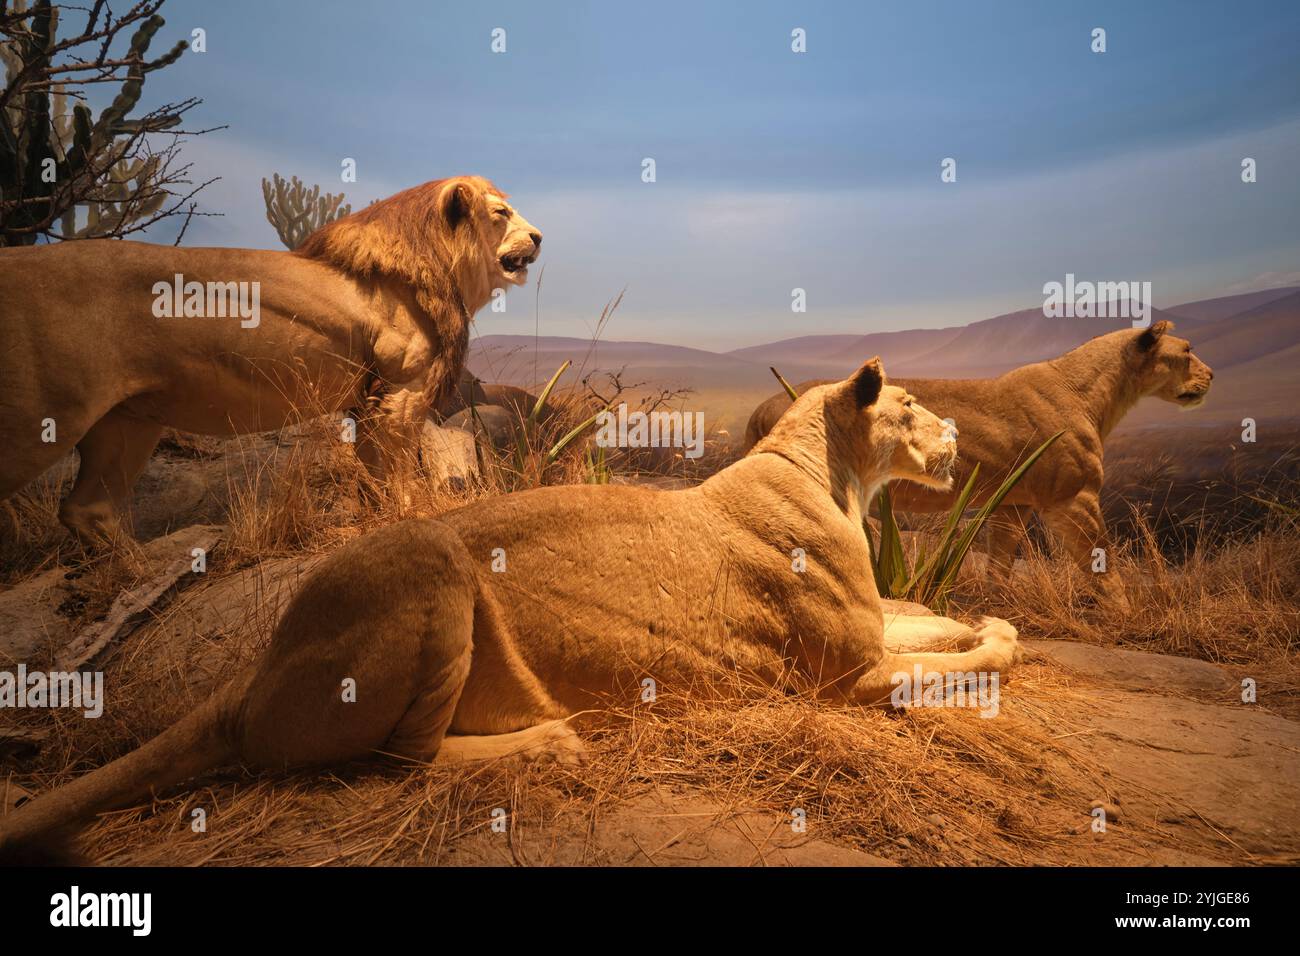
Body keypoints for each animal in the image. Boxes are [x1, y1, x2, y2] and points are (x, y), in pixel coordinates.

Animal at [0, 175, 541, 542]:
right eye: (500, 213)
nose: (538, 236)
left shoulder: (367, 402)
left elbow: (371, 473)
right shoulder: (401, 393)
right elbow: (398, 469)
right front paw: (415, 513)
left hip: (130, 421)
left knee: (87, 511)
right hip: (39, 422)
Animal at [0, 358, 1023, 858]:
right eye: (914, 405)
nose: (954, 433)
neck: (835, 473)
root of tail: (260, 668)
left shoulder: (874, 630)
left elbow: (932, 617)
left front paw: (991, 618)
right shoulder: (847, 679)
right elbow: (963, 663)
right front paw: (997, 639)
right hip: (430, 568)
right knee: (402, 761)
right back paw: (548, 742)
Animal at [743, 322, 1214, 606]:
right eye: (1188, 351)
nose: (1211, 376)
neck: (1099, 393)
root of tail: (761, 407)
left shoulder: (1012, 505)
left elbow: (1001, 565)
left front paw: (998, 608)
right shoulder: (1073, 498)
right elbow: (1104, 564)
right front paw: (1125, 612)